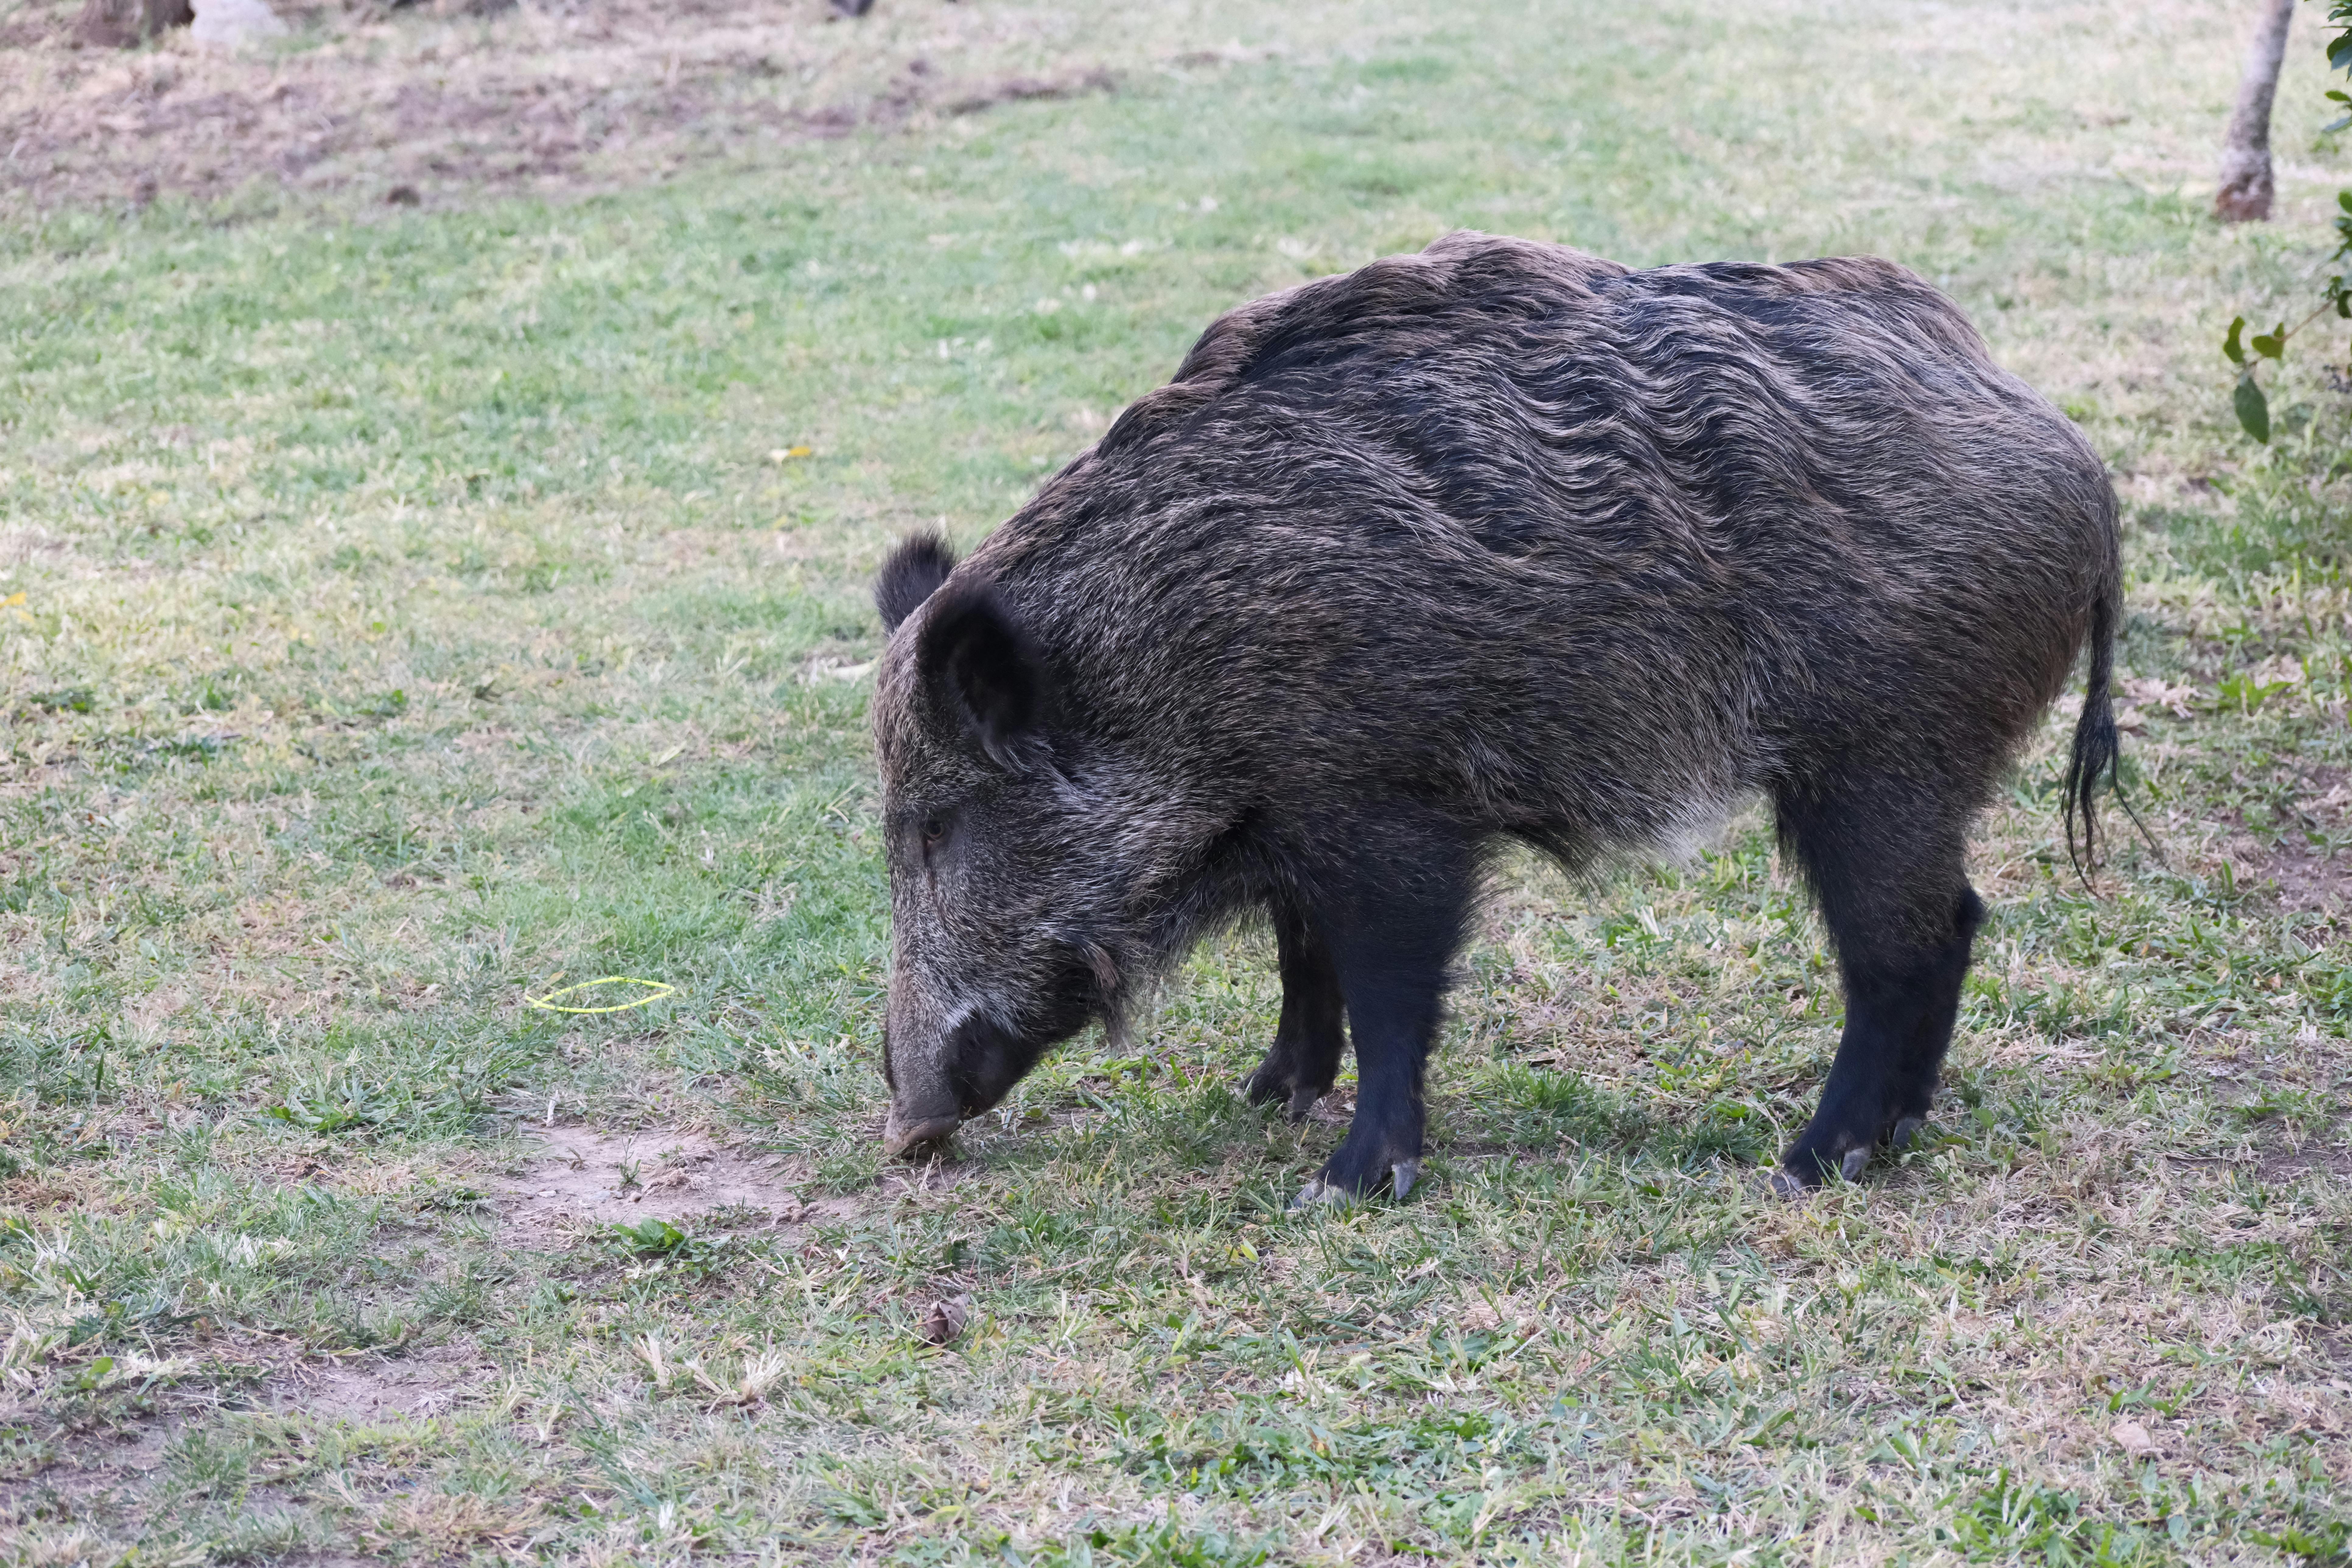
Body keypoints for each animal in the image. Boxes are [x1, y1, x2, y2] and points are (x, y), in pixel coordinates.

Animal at [869, 230, 2121, 1203]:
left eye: (936, 827)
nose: (906, 1122)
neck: (1169, 659)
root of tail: (2076, 459)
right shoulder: (1294, 814)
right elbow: (1300, 956)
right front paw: (1265, 1097)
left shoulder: (1387, 807)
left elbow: (1389, 989)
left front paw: (1347, 1183)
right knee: (1957, 921)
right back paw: (1895, 1131)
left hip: (1877, 761)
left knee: (1901, 949)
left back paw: (1813, 1162)